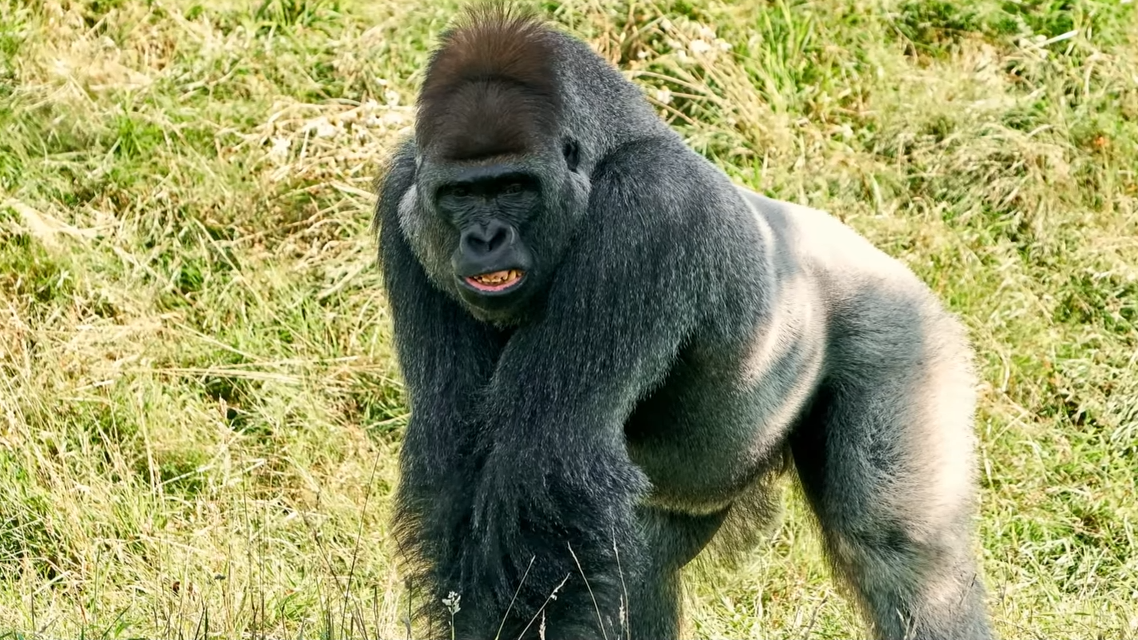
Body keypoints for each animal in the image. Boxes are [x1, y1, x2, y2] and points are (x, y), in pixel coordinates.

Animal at [372, 3, 996, 639]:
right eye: (460, 195)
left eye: (512, 187)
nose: (485, 238)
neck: (606, 148)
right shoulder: (403, 197)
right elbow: (457, 446)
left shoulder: (650, 208)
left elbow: (544, 463)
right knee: (643, 569)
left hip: (905, 334)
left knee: (900, 552)